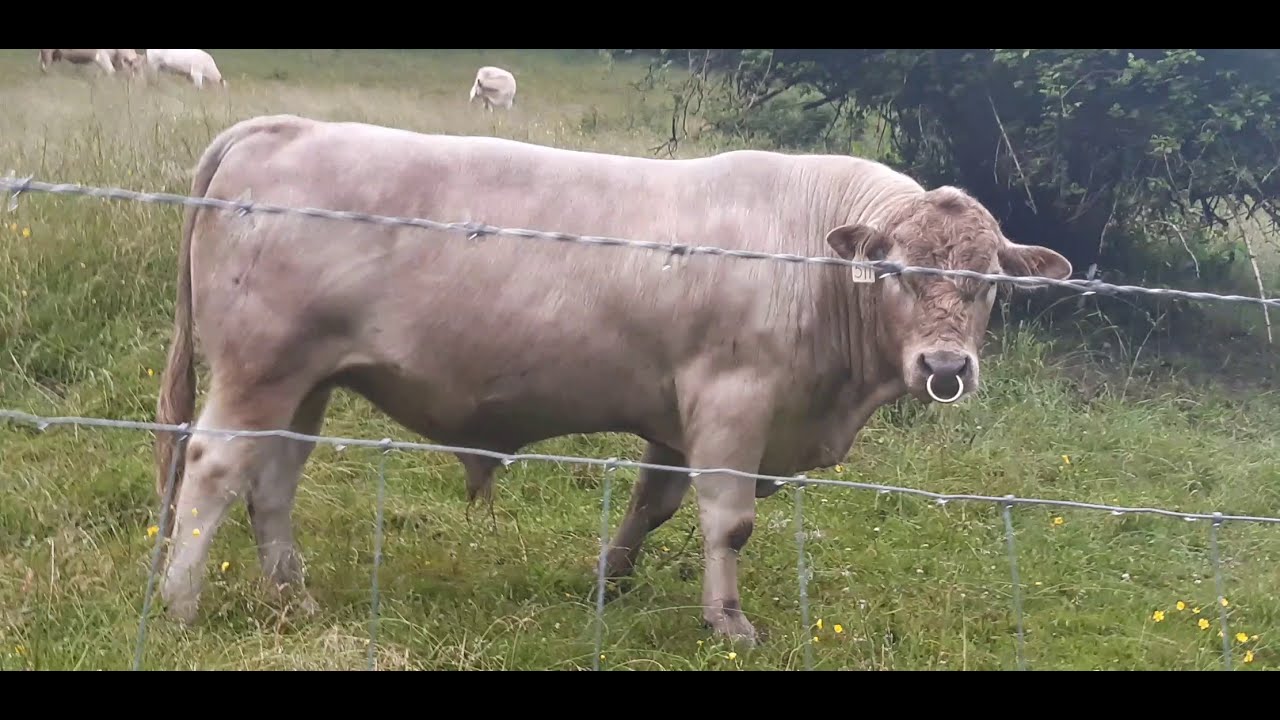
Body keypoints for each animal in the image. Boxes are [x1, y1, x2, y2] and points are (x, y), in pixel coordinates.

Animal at [152, 114, 1071, 646]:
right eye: (895, 272)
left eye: (989, 281)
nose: (945, 367)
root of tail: (286, 128)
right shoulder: (732, 403)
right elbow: (729, 521)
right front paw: (729, 623)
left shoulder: (677, 417)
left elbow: (653, 505)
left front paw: (608, 579)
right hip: (259, 368)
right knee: (214, 467)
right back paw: (180, 605)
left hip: (304, 381)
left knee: (272, 480)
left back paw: (292, 598)